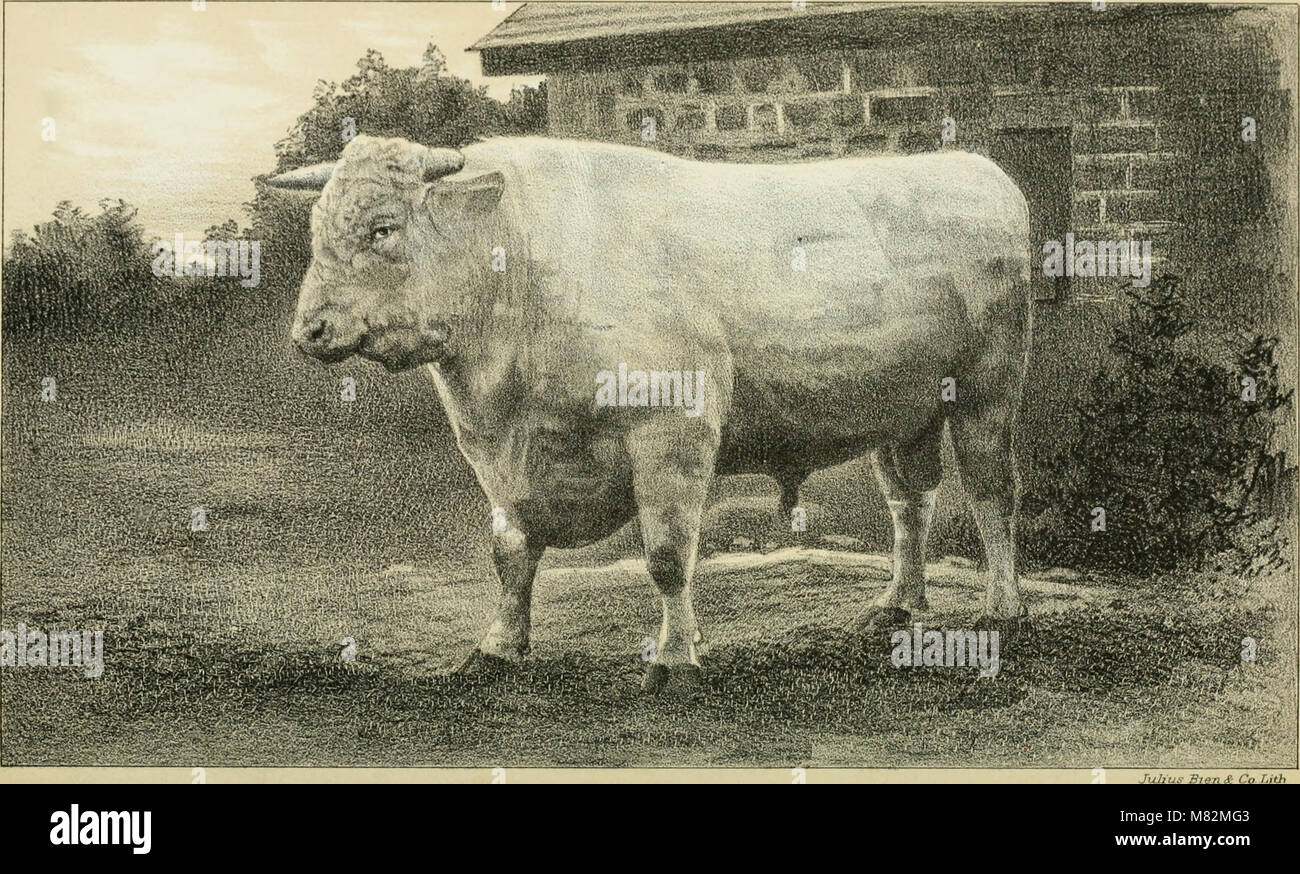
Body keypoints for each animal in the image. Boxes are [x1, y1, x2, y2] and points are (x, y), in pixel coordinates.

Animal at [268, 134, 1032, 692]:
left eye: (383, 229)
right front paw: (496, 648)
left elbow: (666, 556)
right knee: (911, 503)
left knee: (992, 493)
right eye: (315, 229)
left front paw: (674, 661)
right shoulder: (498, 455)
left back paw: (1002, 607)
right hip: (899, 409)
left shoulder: (672, 429)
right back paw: (898, 604)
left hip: (988, 389)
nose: (308, 330)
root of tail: (974, 167)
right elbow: (510, 554)